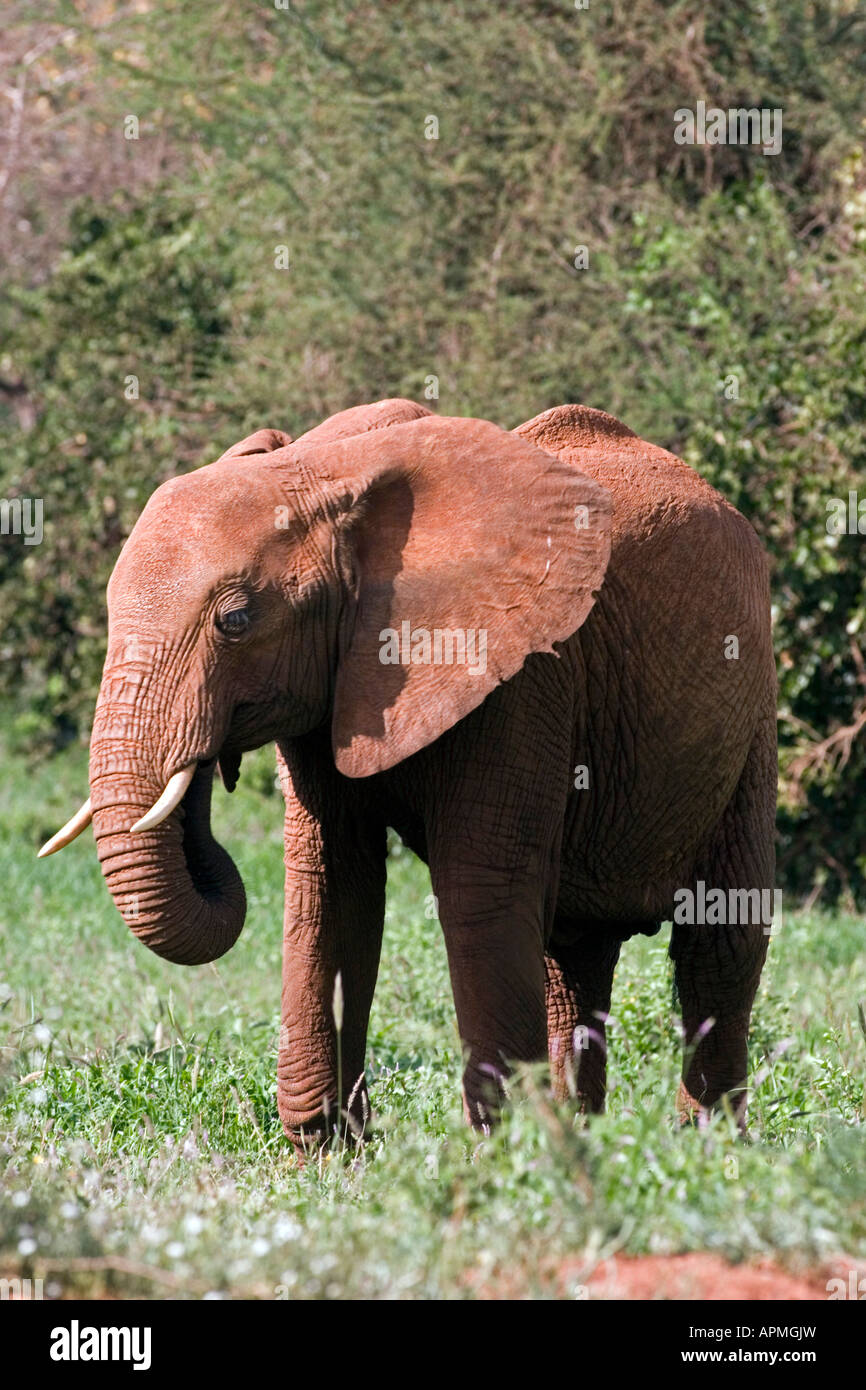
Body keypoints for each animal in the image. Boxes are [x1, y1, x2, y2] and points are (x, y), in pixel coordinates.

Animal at [40, 397, 777, 1145]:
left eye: (236, 621)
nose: (208, 767)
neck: (329, 469)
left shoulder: (523, 675)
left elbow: (481, 893)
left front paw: (501, 1155)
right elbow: (334, 886)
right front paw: (332, 1154)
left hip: (751, 711)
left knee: (720, 940)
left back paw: (707, 1147)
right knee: (574, 960)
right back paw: (586, 1138)